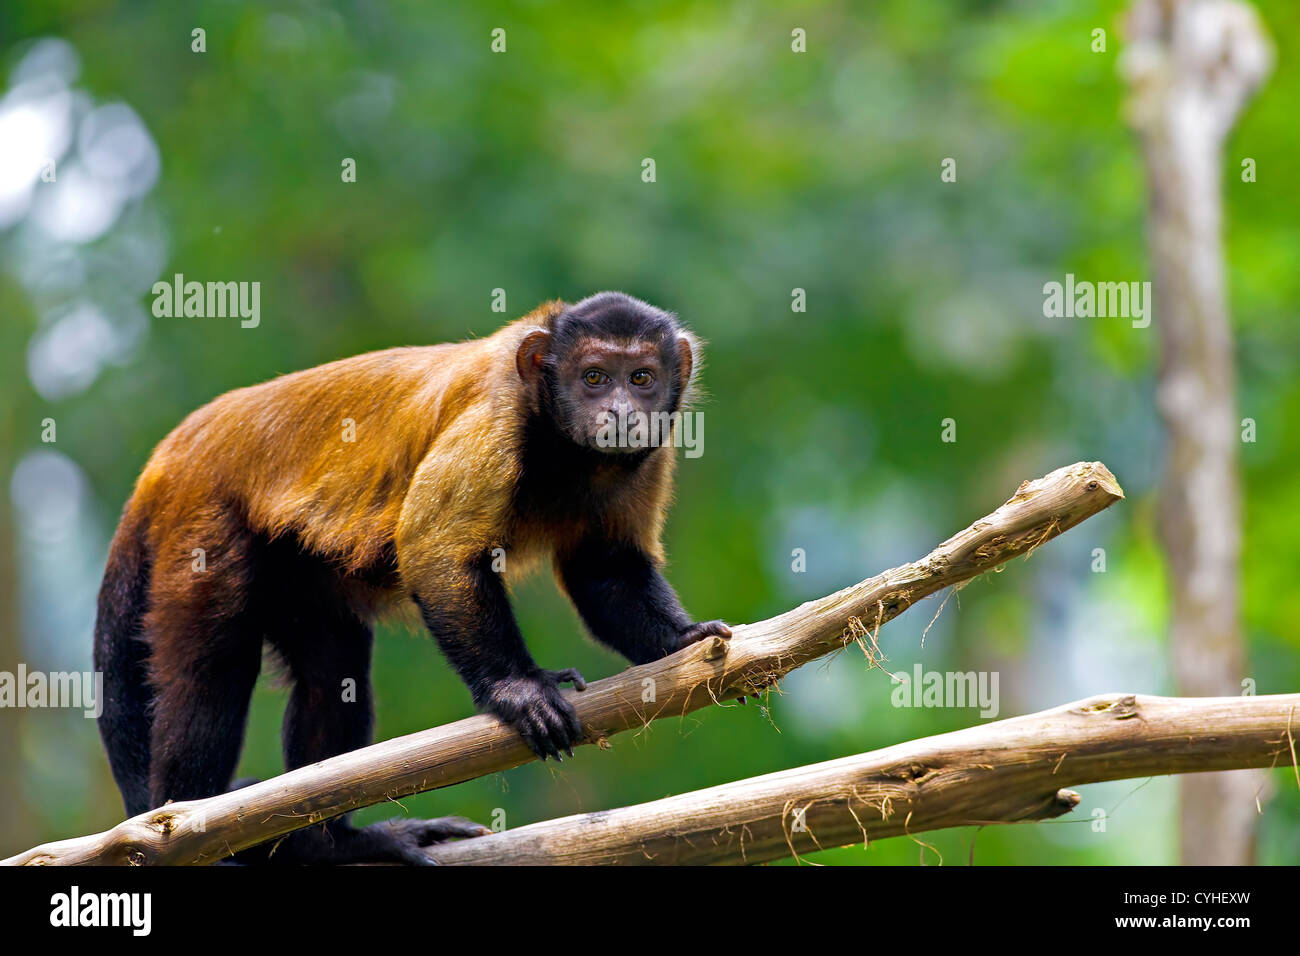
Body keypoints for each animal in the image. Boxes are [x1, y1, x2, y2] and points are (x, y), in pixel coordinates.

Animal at [93, 291, 731, 864]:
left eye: (642, 378)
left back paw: (333, 846)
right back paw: (191, 824)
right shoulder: (497, 419)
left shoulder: (647, 455)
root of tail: (177, 451)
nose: (622, 410)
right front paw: (518, 689)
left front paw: (681, 640)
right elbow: (434, 552)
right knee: (213, 670)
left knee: (332, 668)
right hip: (203, 520)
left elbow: (606, 572)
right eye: (594, 377)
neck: (559, 438)